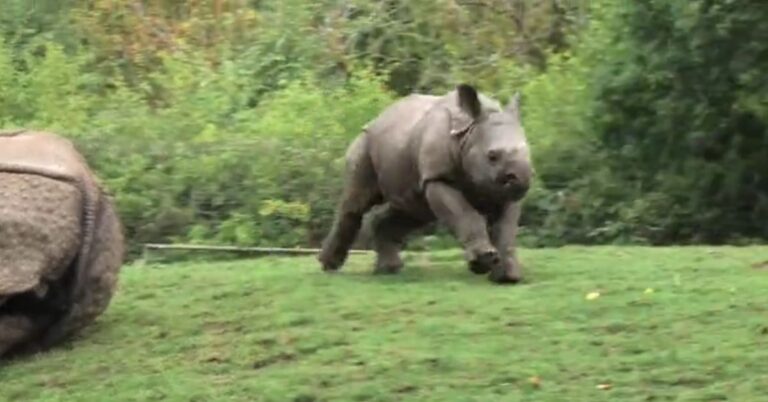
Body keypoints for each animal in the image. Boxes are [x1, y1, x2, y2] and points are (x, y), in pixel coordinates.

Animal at [318, 84, 534, 283]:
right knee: (357, 201)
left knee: (414, 210)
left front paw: (508, 277)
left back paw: (388, 270)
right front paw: (483, 262)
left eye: (528, 153)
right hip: (365, 142)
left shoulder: (501, 189)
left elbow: (506, 229)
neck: (468, 134)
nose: (522, 179)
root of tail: (377, 118)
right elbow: (465, 214)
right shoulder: (437, 176)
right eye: (492, 156)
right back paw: (329, 266)